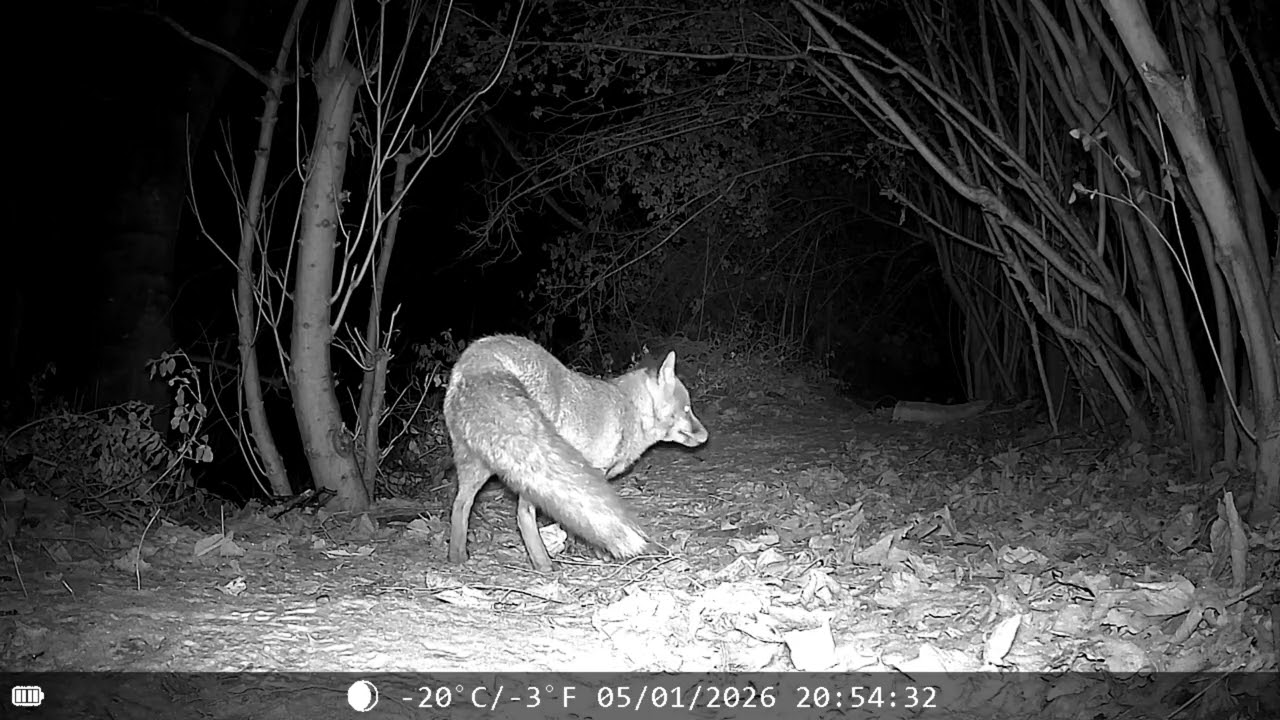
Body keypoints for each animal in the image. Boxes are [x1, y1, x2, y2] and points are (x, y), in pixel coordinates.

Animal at [442, 335, 709, 571]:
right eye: (687, 410)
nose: (706, 436)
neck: (628, 410)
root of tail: (479, 361)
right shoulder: (594, 470)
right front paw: (599, 552)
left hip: (484, 466)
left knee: (460, 505)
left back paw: (458, 559)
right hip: (532, 469)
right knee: (522, 515)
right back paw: (544, 565)